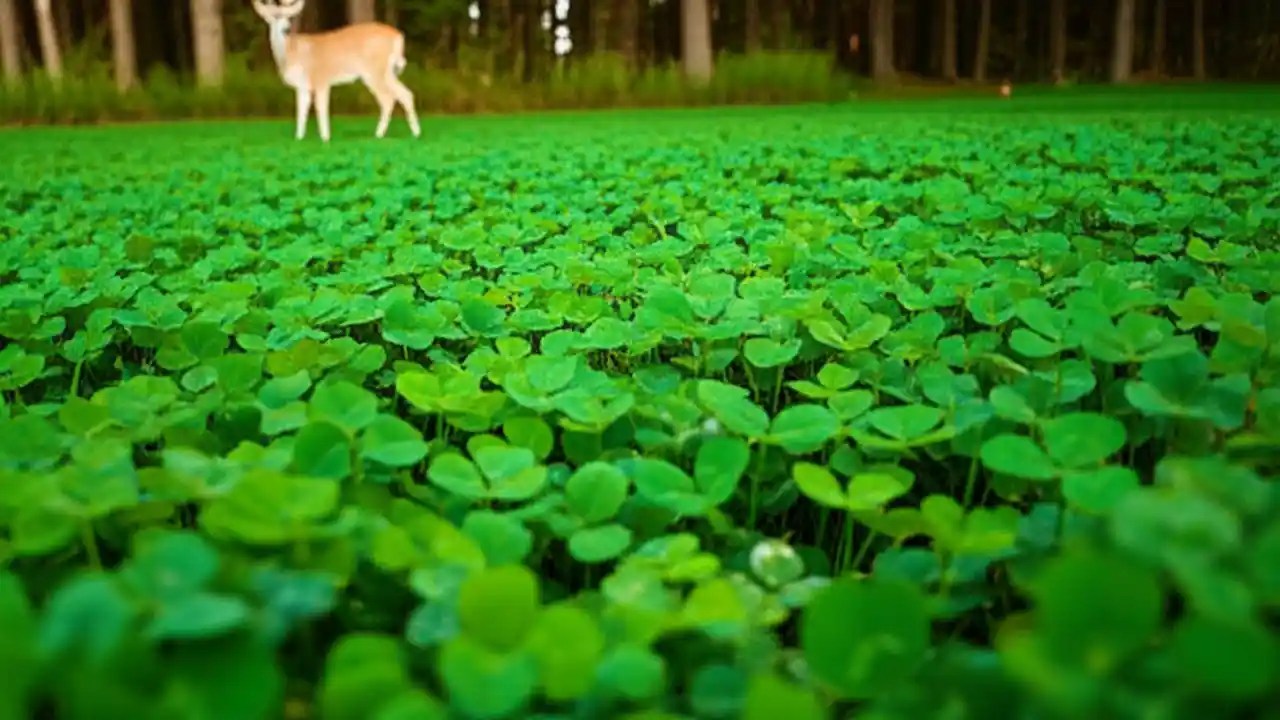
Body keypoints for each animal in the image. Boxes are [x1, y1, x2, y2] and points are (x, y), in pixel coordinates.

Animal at [250, 0, 421, 142]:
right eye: (273, 16)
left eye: (289, 17)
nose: (286, 29)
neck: (291, 53)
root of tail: (399, 37)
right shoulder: (303, 86)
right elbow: (301, 111)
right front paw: (299, 138)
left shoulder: (321, 78)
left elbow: (321, 108)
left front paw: (325, 138)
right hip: (388, 72)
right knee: (406, 94)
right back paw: (416, 132)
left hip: (374, 70)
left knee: (388, 98)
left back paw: (378, 134)